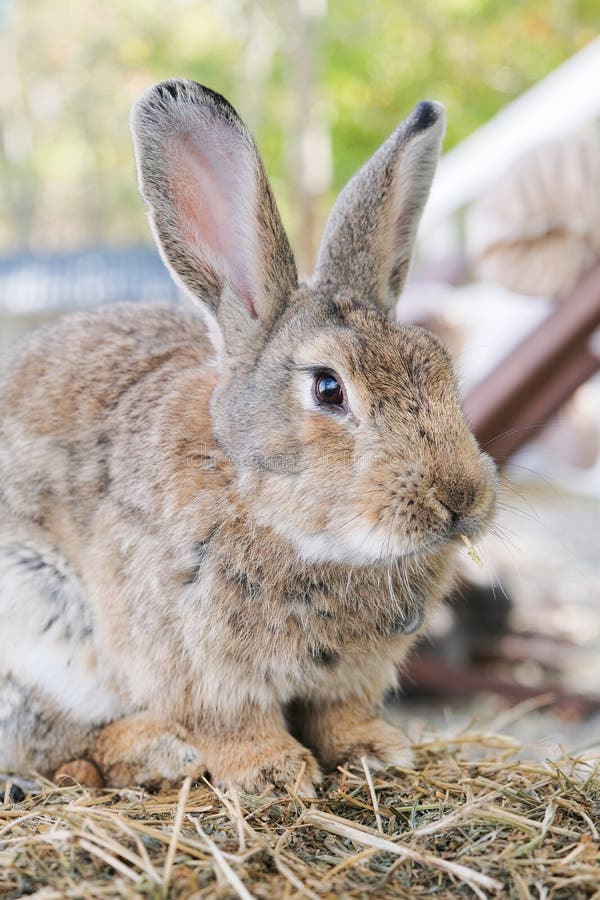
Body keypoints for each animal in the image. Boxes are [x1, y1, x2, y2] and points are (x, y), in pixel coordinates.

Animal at [0, 80, 497, 794]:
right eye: (328, 388)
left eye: (439, 365)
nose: (460, 498)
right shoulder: (193, 664)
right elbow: (230, 722)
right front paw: (273, 774)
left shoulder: (348, 678)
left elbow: (341, 714)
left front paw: (378, 751)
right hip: (39, 627)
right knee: (45, 743)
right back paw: (158, 752)